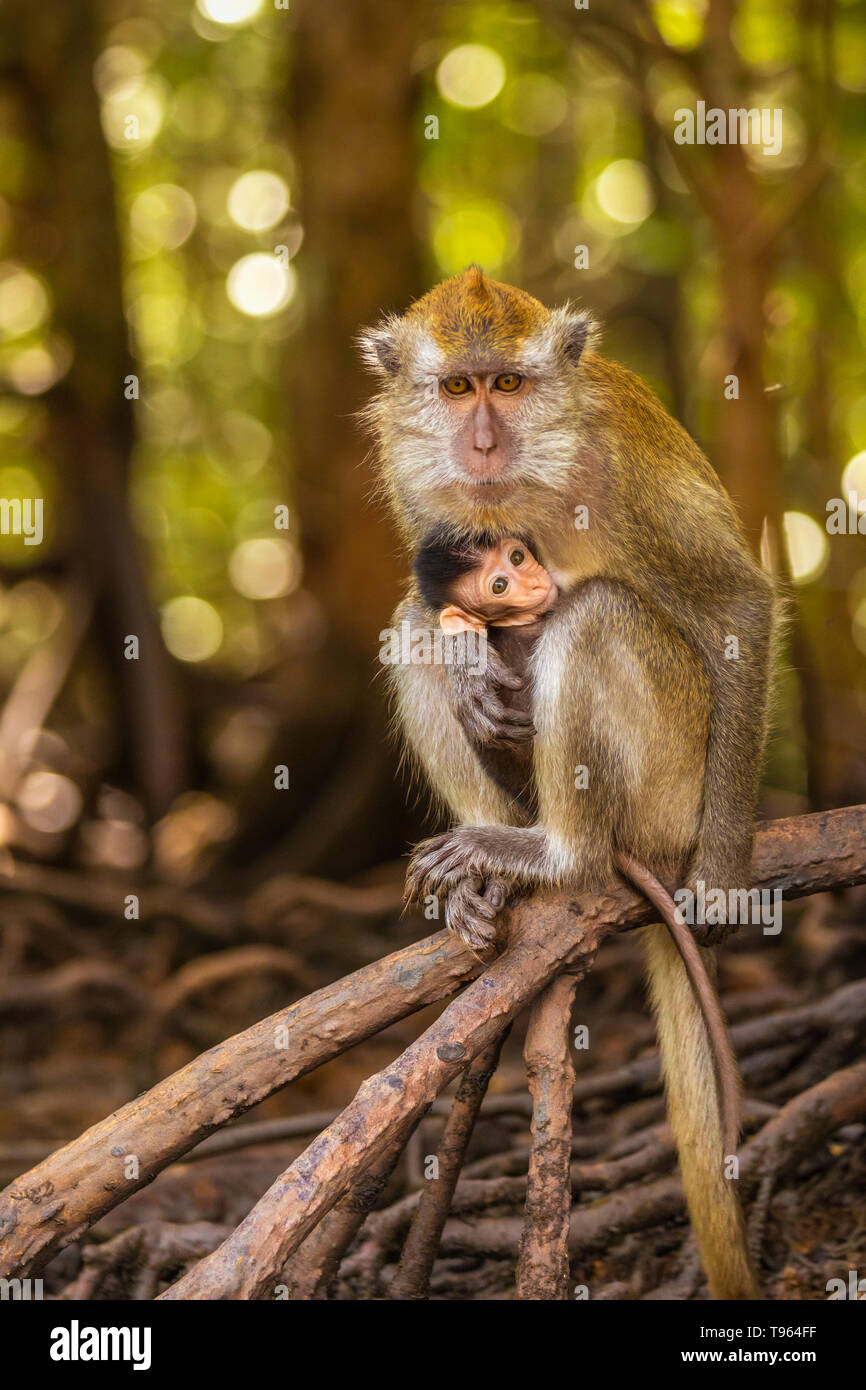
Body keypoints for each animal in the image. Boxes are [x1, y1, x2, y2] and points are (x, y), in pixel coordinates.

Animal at [412, 527, 741, 1161]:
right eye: (499, 585)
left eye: (516, 556)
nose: (536, 580)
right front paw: (467, 656)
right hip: (664, 788)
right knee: (593, 613)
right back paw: (557, 857)